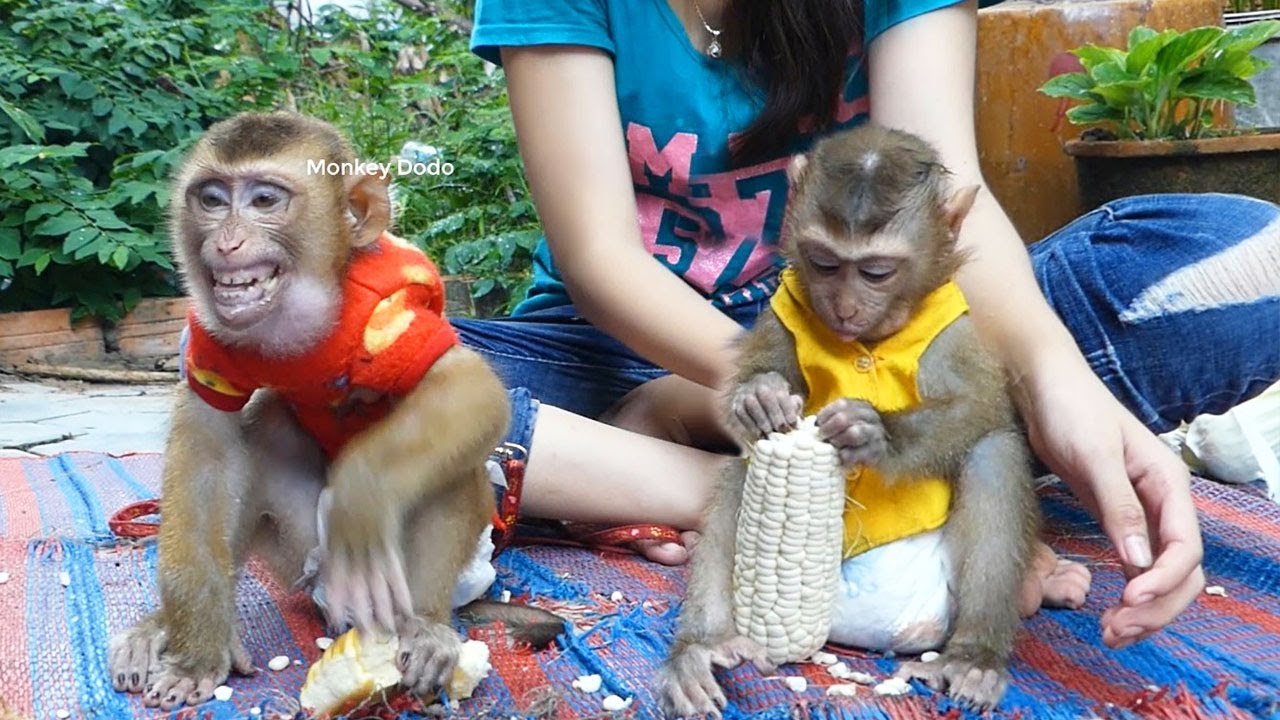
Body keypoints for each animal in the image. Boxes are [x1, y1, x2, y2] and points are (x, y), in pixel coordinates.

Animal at [107, 111, 560, 711]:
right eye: (211, 199)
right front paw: (197, 643)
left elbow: (464, 385)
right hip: (300, 554)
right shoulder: (208, 330)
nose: (226, 244)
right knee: (267, 425)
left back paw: (425, 627)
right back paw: (163, 629)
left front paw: (360, 502)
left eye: (264, 200)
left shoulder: (382, 310)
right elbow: (207, 441)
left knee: (458, 458)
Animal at [659, 123, 1047, 715]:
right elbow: (757, 385)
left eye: (876, 271)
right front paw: (759, 397)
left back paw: (974, 656)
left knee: (992, 449)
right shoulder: (782, 310)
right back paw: (704, 647)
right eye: (823, 262)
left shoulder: (952, 330)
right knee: (742, 472)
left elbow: (982, 408)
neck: (871, 338)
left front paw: (872, 432)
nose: (843, 307)